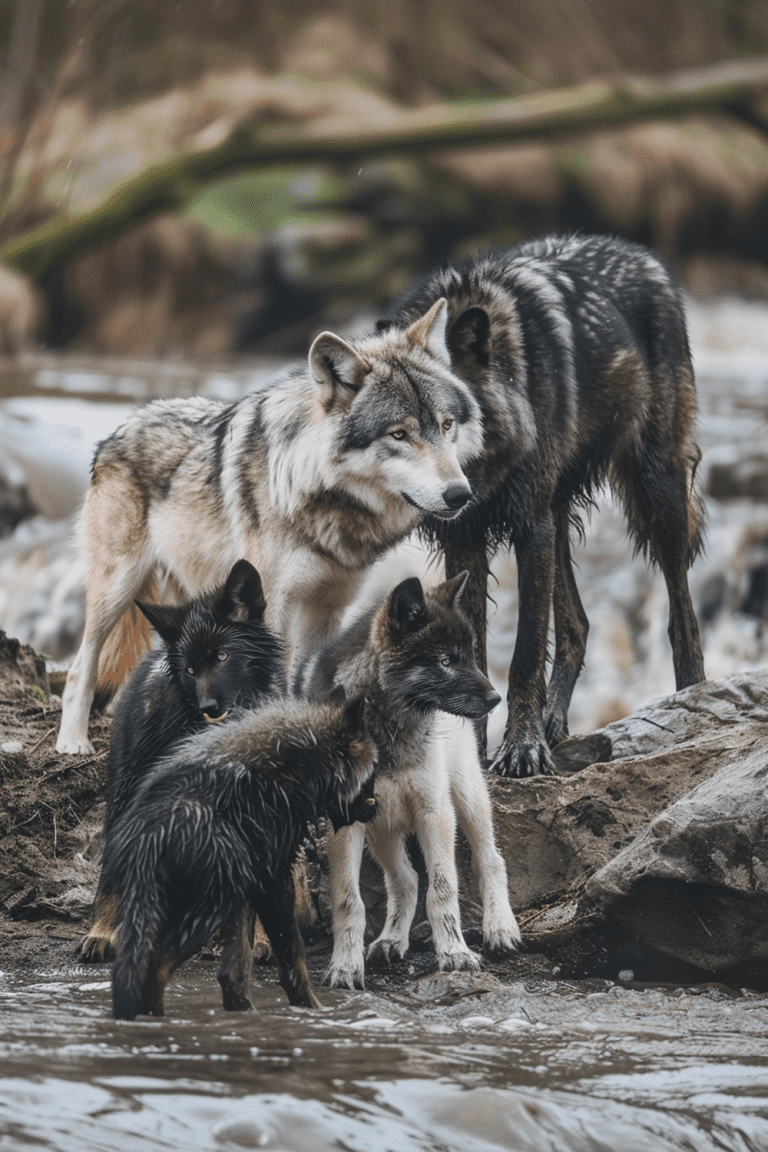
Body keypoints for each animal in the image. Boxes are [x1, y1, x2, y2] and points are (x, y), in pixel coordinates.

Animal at [55, 301, 483, 756]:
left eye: (446, 425)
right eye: (398, 434)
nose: (460, 494)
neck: (324, 500)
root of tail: (122, 426)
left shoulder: (327, 607)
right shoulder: (273, 605)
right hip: (117, 587)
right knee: (80, 667)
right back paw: (73, 741)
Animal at [103, 694, 377, 1019]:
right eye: (373, 774)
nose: (376, 807)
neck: (302, 761)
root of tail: (150, 833)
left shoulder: (252, 886)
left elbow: (238, 972)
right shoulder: (274, 881)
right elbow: (293, 960)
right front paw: (312, 1012)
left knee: (135, 972)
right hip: (207, 912)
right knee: (155, 970)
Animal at [295, 571, 521, 989]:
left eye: (469, 656)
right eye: (446, 661)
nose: (496, 699)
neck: (386, 730)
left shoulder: (435, 812)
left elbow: (443, 890)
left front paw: (455, 953)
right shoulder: (345, 822)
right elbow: (348, 900)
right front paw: (345, 967)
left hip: (468, 799)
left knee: (490, 860)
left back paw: (501, 929)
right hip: (381, 829)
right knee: (406, 880)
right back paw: (390, 941)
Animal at [376, 233, 706, 775]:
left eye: (446, 422)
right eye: (398, 433)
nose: (450, 493)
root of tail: (642, 254)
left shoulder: (530, 526)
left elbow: (525, 652)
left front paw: (521, 748)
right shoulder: (467, 540)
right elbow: (475, 648)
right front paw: (478, 755)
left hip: (654, 491)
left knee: (682, 617)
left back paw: (690, 700)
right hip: (558, 516)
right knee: (578, 625)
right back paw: (556, 725)